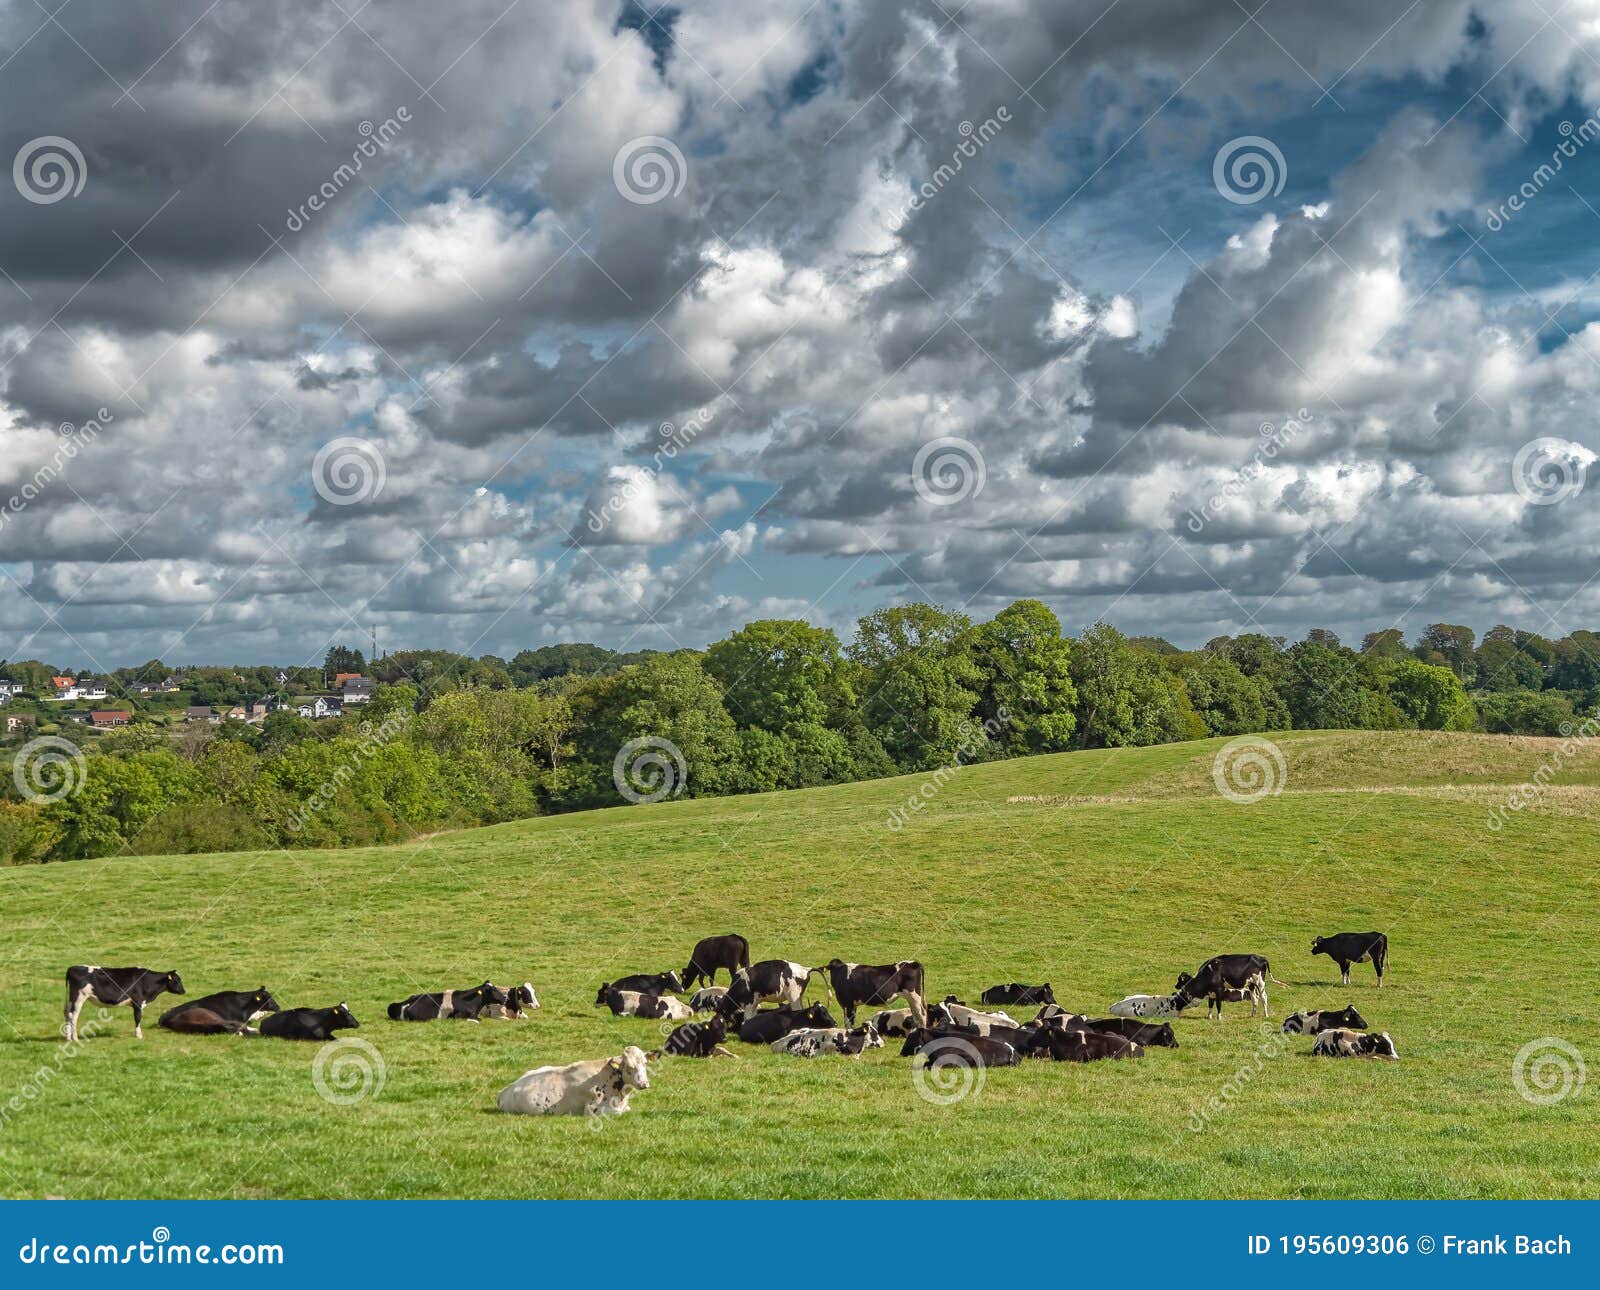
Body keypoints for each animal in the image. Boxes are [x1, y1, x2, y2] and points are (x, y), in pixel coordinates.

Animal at [498, 1046, 653, 1117]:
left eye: (645, 1063)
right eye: (629, 1067)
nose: (644, 1084)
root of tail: (503, 1092)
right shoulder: (591, 1109)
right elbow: (619, 1112)